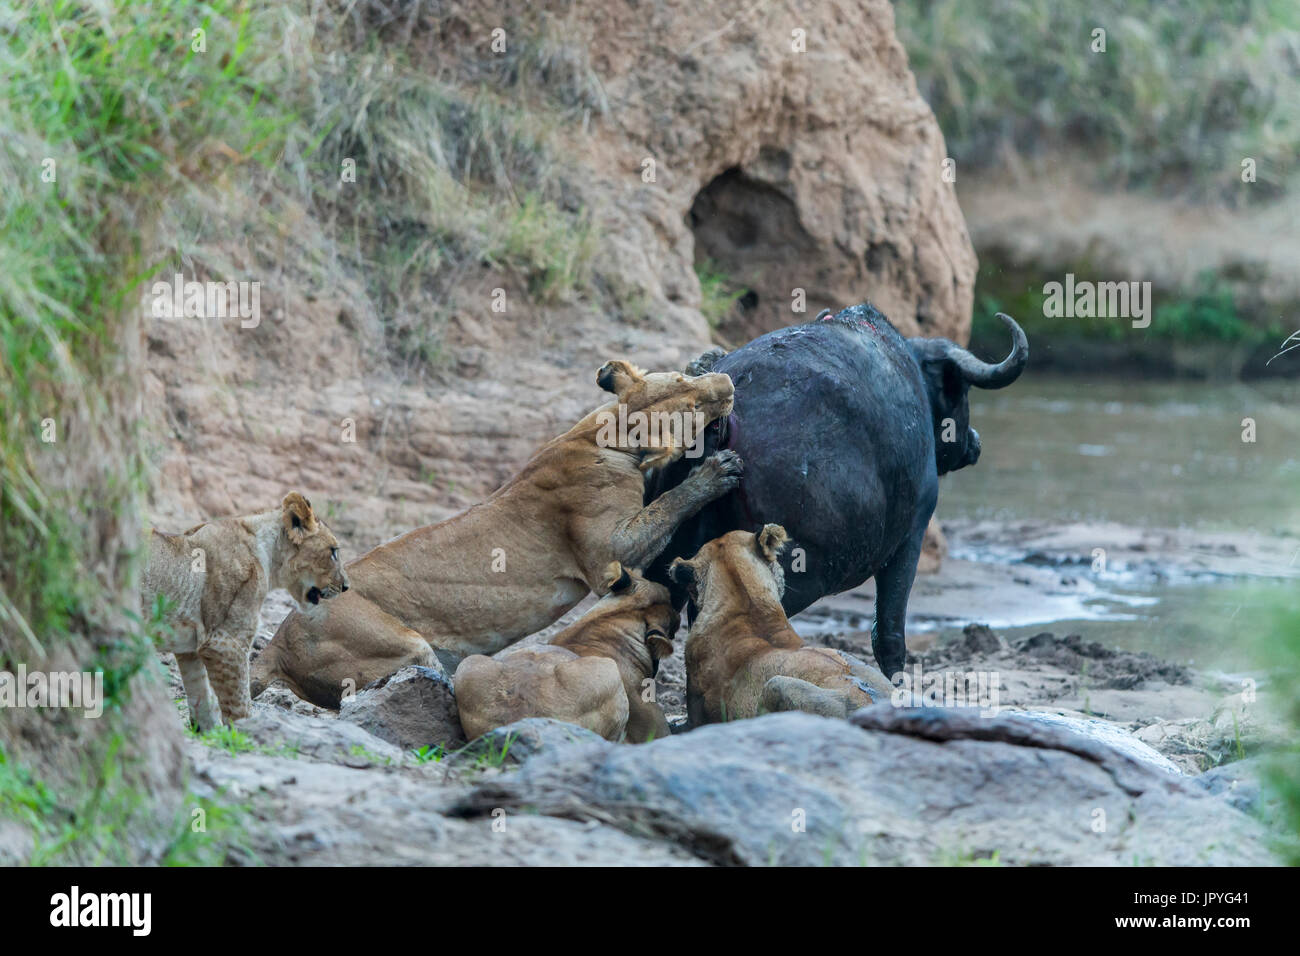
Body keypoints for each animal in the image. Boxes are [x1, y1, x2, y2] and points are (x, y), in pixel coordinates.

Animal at [144, 492, 348, 730]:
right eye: (333, 552)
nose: (346, 586)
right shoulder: (225, 643)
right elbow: (239, 703)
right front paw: (247, 731)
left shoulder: (189, 649)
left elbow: (202, 697)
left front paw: (210, 733)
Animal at [251, 361, 741, 708]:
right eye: (693, 409)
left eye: (683, 376)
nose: (728, 382)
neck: (608, 432)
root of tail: (276, 644)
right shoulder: (608, 555)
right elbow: (667, 504)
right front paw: (715, 473)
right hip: (400, 644)